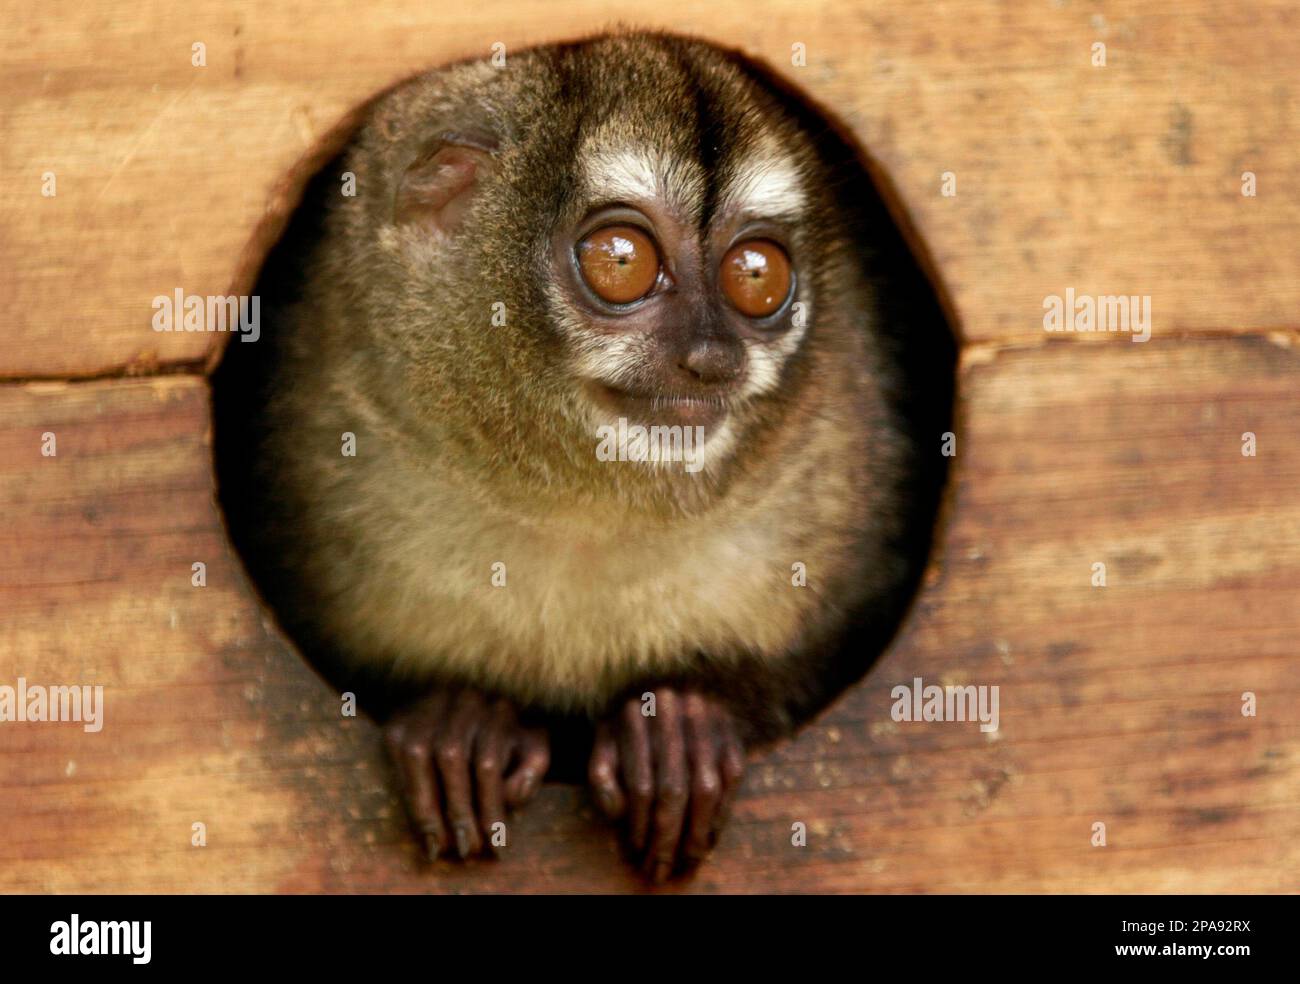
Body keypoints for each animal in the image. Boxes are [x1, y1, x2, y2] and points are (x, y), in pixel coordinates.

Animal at [213, 30, 953, 884]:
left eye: (756, 275)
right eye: (621, 259)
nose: (712, 358)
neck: (579, 511)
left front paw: (679, 733)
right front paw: (459, 730)